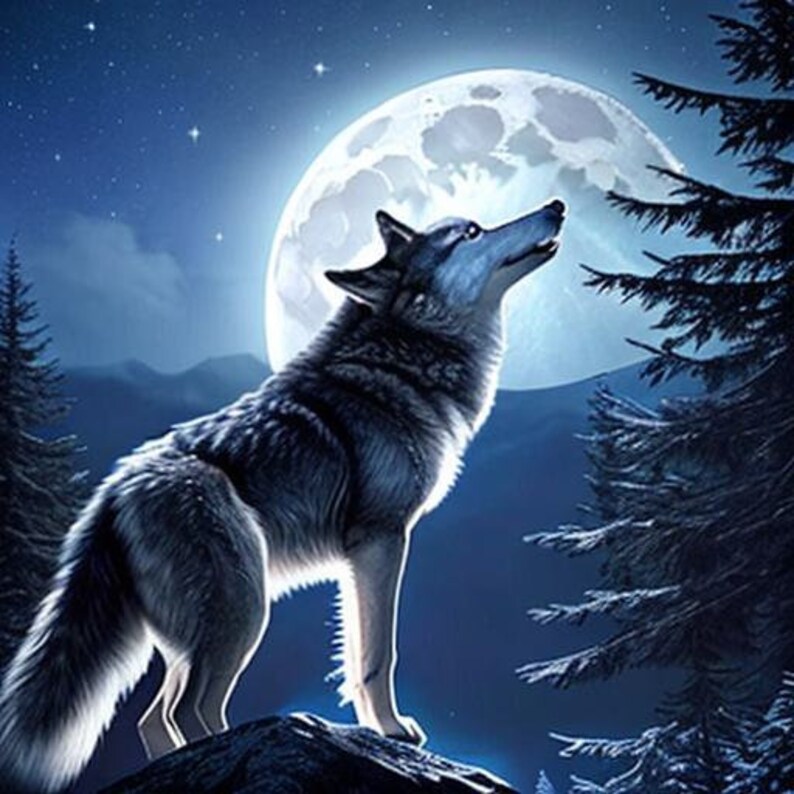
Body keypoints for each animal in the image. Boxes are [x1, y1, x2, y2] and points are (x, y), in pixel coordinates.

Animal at [0, 199, 565, 792]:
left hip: (201, 637)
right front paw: (391, 731)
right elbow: (378, 654)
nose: (556, 206)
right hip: (244, 614)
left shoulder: (357, 560)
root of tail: (110, 492)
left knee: (154, 719)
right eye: (472, 232)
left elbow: (355, 652)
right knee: (188, 711)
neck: (402, 361)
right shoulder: (383, 539)